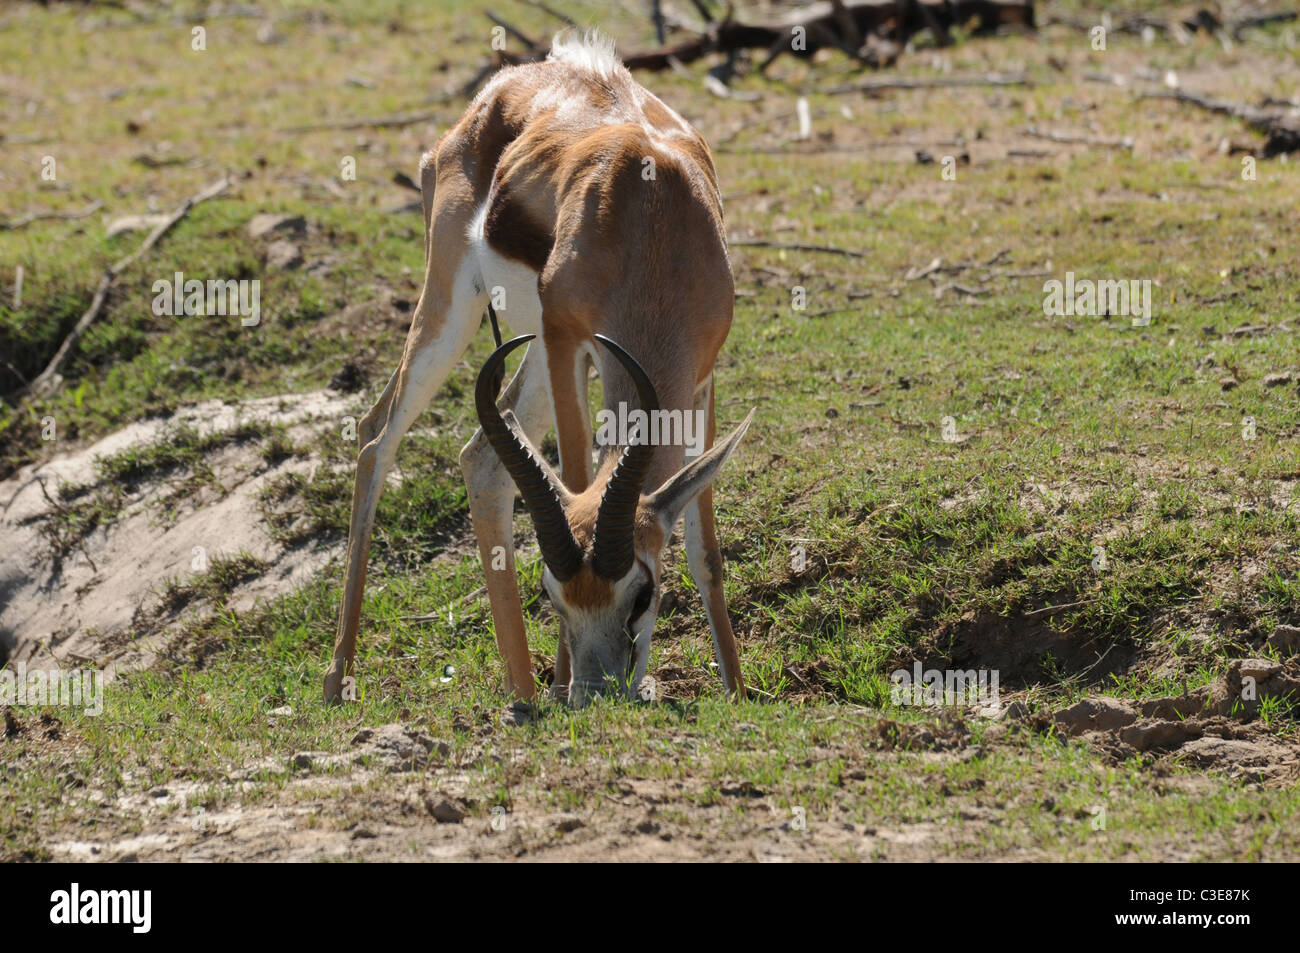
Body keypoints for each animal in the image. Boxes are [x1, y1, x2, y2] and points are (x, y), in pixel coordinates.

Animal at [322, 31, 754, 708]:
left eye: (643, 594)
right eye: (551, 596)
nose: (596, 693)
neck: (650, 213)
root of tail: (496, 93)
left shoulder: (702, 374)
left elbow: (704, 548)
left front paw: (737, 690)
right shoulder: (565, 339)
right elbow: (575, 479)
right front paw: (562, 678)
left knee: (479, 455)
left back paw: (522, 693)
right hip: (452, 308)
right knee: (376, 433)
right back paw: (339, 677)